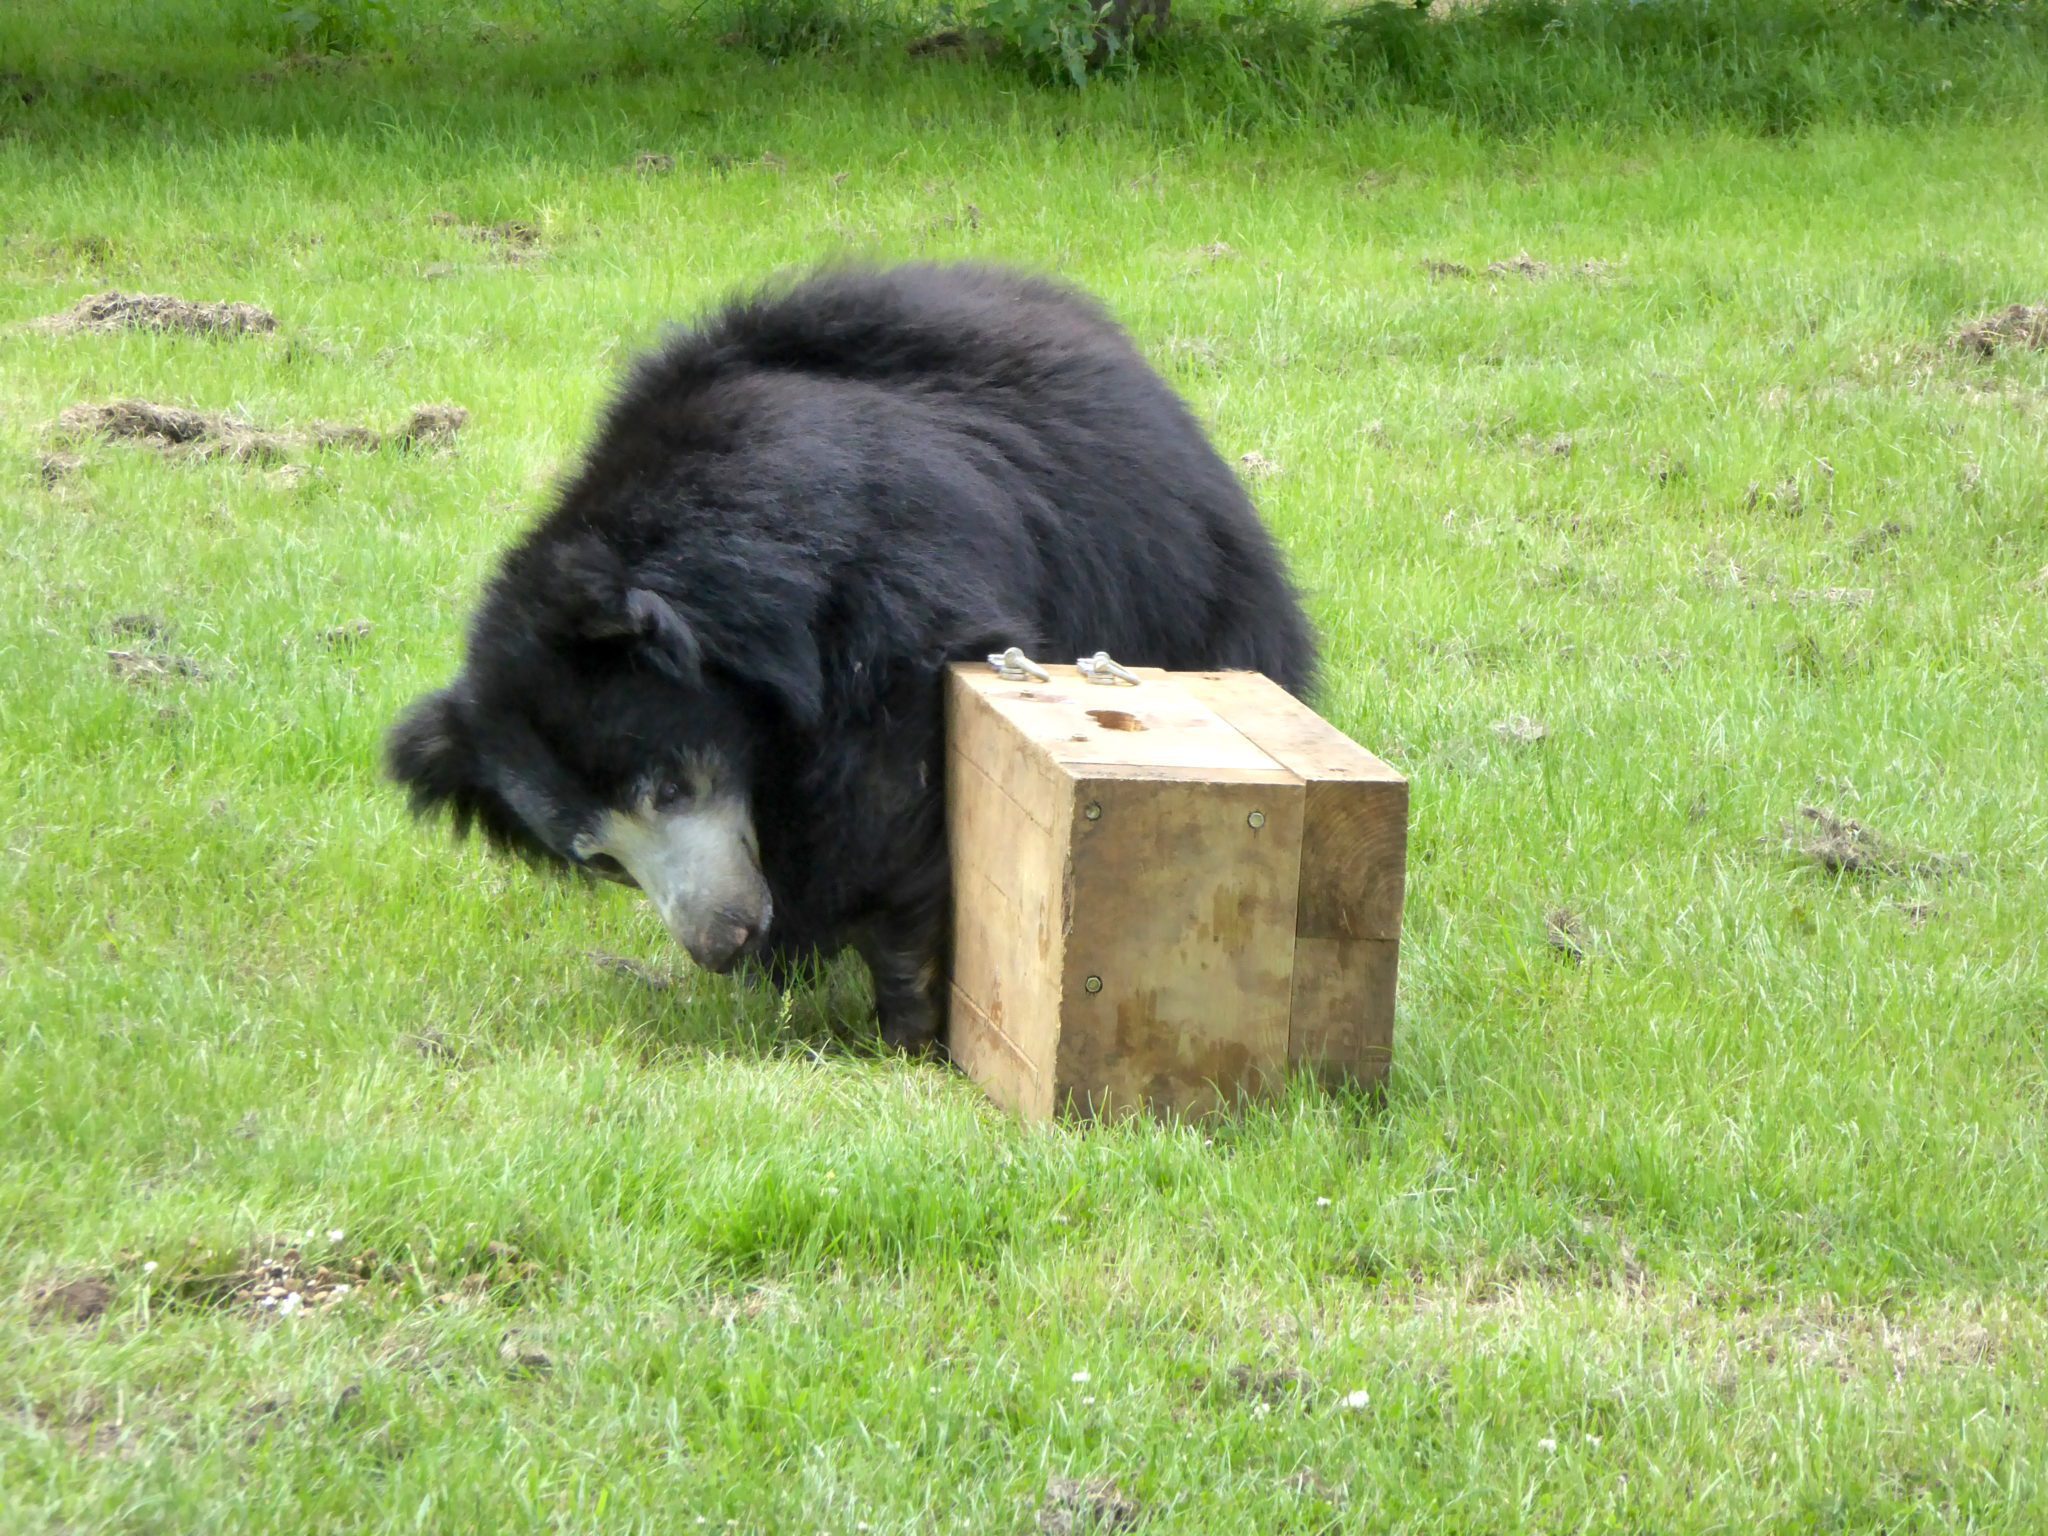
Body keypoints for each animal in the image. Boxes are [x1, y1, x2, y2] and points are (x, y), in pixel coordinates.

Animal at [385, 260, 1317, 1056]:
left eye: (671, 786)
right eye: (600, 858)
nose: (720, 941)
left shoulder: (887, 577)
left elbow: (885, 795)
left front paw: (904, 1013)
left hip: (1180, 583)